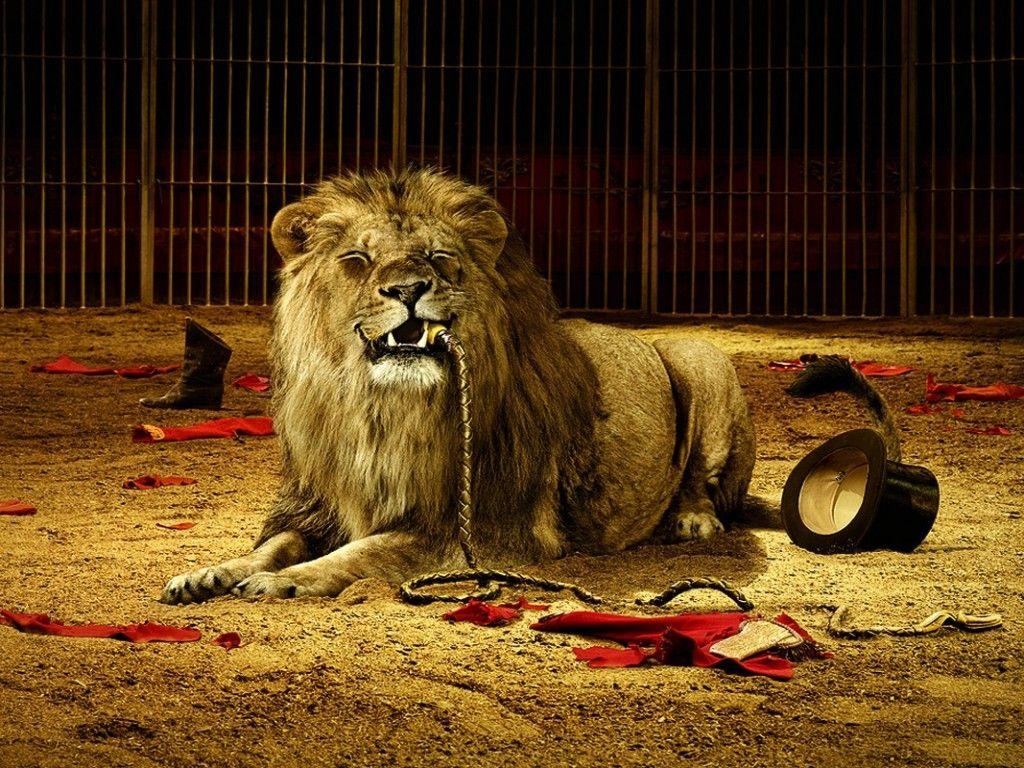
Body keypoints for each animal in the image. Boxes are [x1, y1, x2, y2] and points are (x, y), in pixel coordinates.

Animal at [160, 167, 755, 604]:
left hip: (700, 359)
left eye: (439, 257)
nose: (408, 288)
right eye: (357, 259)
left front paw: (286, 580)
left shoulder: (487, 530)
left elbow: (368, 551)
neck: (382, 411)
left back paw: (692, 520)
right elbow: (276, 543)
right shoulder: (320, 503)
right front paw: (212, 572)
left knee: (701, 478)